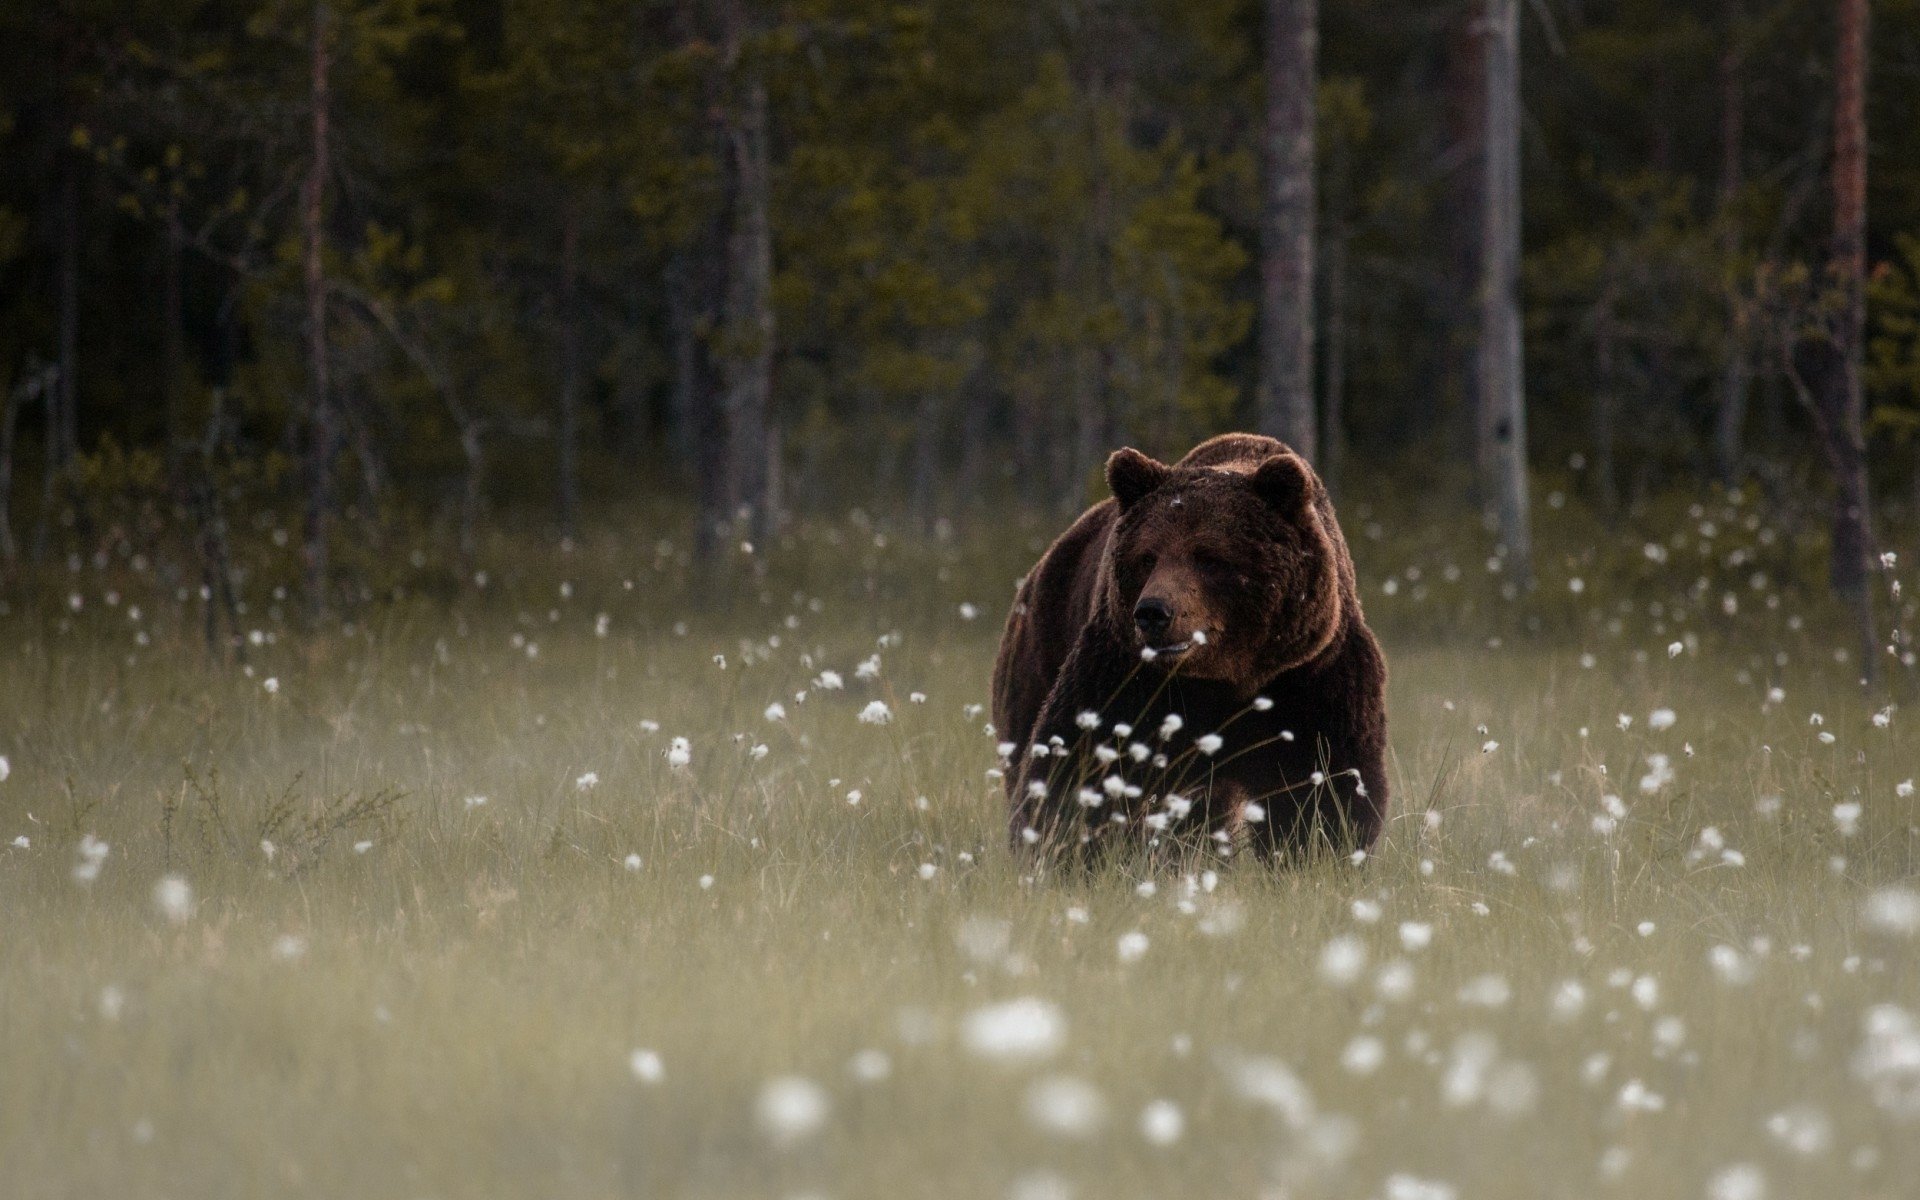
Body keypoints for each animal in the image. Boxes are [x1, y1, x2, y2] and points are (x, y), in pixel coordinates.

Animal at [991, 432, 1388, 865]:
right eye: (1147, 556)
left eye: (1210, 558)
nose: (1152, 612)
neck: (1224, 679)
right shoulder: (1125, 675)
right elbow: (1081, 758)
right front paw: (1063, 848)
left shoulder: (1310, 676)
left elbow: (1323, 784)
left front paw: (1317, 851)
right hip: (1039, 650)